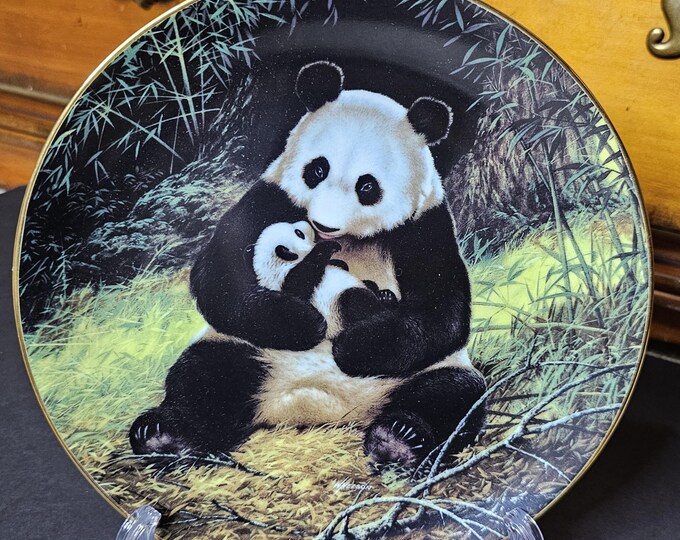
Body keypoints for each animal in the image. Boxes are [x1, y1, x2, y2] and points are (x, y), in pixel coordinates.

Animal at [130, 61, 486, 468]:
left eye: (367, 186)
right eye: (317, 170)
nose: (324, 224)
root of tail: (316, 402)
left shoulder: (425, 227)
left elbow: (442, 310)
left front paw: (352, 347)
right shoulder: (271, 197)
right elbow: (218, 277)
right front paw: (304, 323)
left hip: (419, 373)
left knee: (452, 393)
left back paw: (399, 438)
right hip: (248, 351)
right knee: (205, 375)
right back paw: (164, 434)